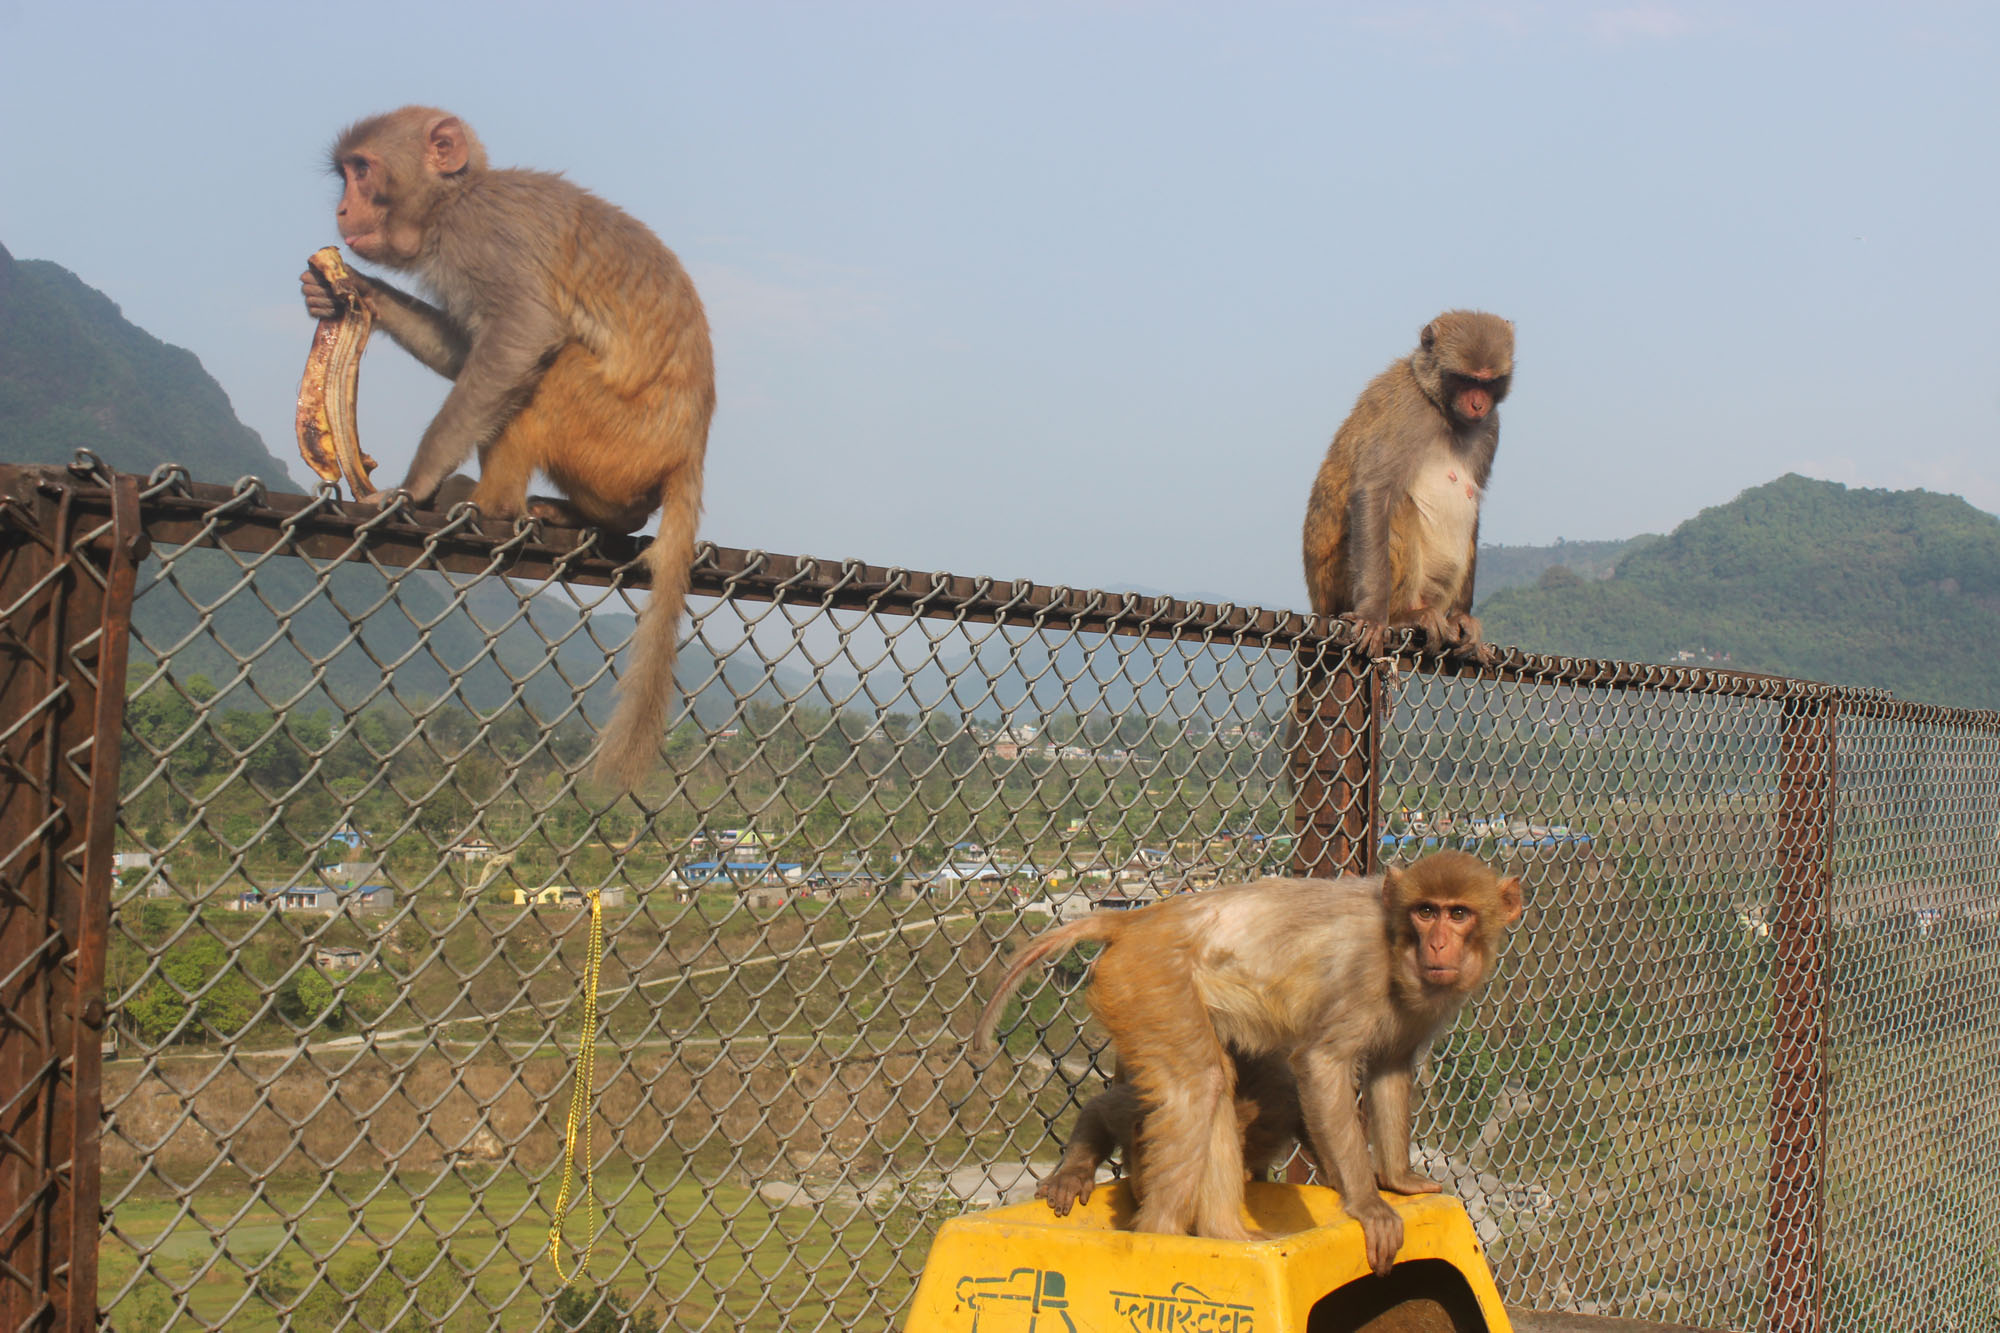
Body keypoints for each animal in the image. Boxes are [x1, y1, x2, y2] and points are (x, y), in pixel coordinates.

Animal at [300, 106, 714, 791]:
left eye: (361, 170)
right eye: (344, 174)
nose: (340, 207)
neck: (454, 199)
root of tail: (689, 455)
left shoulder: (482, 236)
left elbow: (520, 335)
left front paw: (412, 486)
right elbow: (467, 351)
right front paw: (353, 290)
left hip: (615, 433)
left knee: (553, 360)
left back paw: (489, 502)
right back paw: (582, 516)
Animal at [1302, 311, 1513, 663]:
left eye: (1487, 382)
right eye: (1464, 379)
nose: (1477, 404)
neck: (1441, 407)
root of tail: (1318, 604)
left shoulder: (1490, 427)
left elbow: (1475, 500)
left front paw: (1463, 617)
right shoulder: (1407, 410)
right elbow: (1374, 490)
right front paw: (1374, 615)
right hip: (1335, 585)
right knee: (1398, 504)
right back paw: (1402, 615)